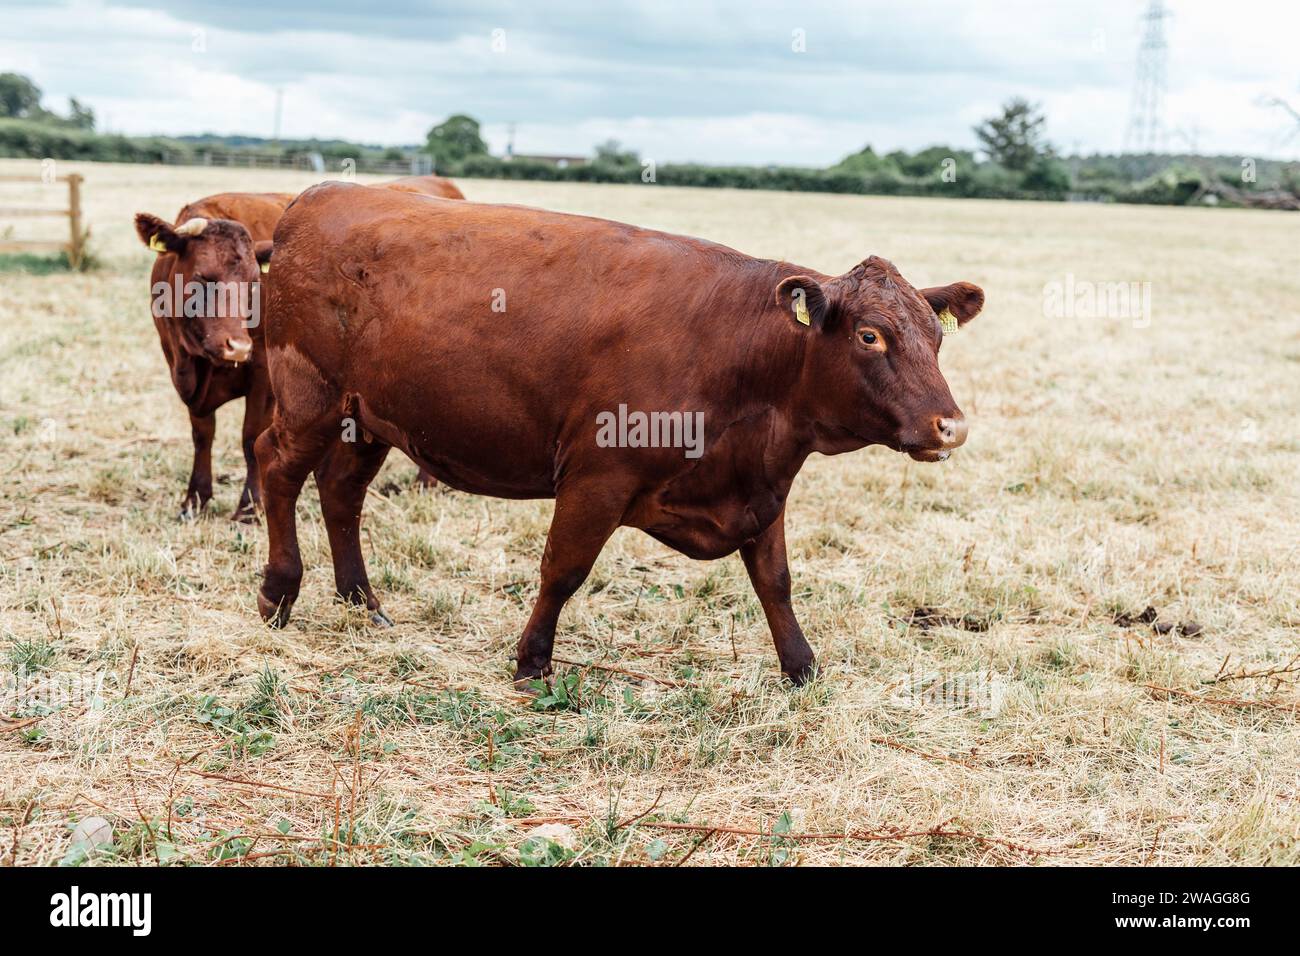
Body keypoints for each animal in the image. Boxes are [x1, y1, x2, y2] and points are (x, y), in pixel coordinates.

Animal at [134, 176, 465, 519]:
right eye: (202, 277)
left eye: (254, 282)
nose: (236, 347)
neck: (197, 361)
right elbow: (202, 436)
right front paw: (194, 500)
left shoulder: (264, 374)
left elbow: (250, 437)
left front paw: (250, 507)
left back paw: (425, 482)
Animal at [254, 183, 984, 684]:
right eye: (870, 336)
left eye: (936, 334)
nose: (950, 426)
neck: (740, 351)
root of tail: (314, 200)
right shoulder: (597, 478)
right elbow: (563, 569)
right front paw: (532, 663)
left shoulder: (760, 486)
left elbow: (774, 581)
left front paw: (802, 668)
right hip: (308, 396)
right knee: (277, 469)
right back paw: (279, 591)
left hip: (367, 416)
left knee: (341, 493)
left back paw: (362, 601)